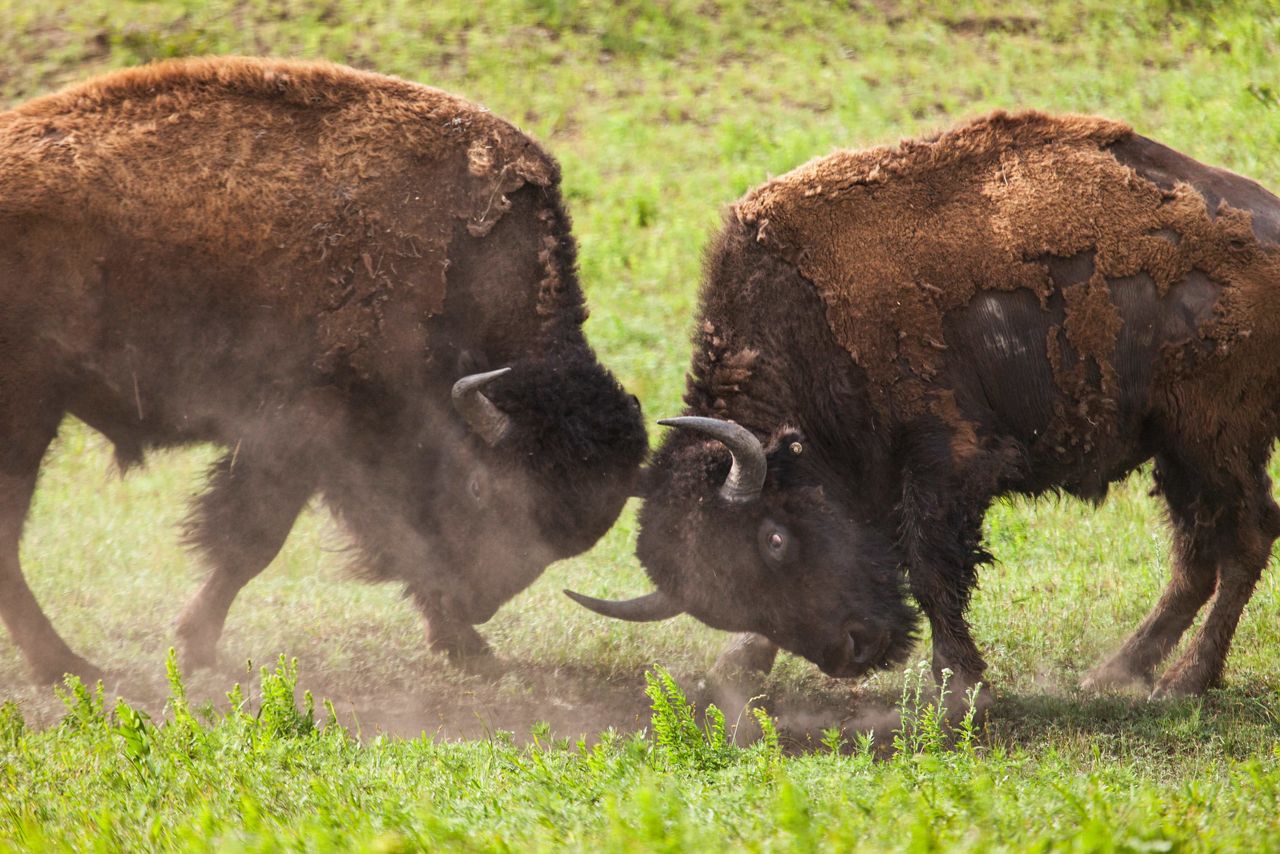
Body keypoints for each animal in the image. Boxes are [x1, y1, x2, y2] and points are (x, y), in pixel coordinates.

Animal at [0, 57, 646, 683]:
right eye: (481, 488)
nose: (477, 603)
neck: (461, 258)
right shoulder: (306, 429)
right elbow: (255, 540)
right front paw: (194, 645)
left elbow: (393, 539)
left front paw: (470, 648)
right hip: (27, 414)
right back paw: (68, 666)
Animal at [570, 111, 1280, 710]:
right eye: (723, 596)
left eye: (774, 539)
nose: (853, 652)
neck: (810, 328)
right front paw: (734, 669)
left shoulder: (948, 462)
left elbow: (933, 567)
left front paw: (960, 685)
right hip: (1177, 450)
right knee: (1198, 553)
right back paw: (1116, 673)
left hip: (1213, 440)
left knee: (1243, 541)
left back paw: (1185, 682)